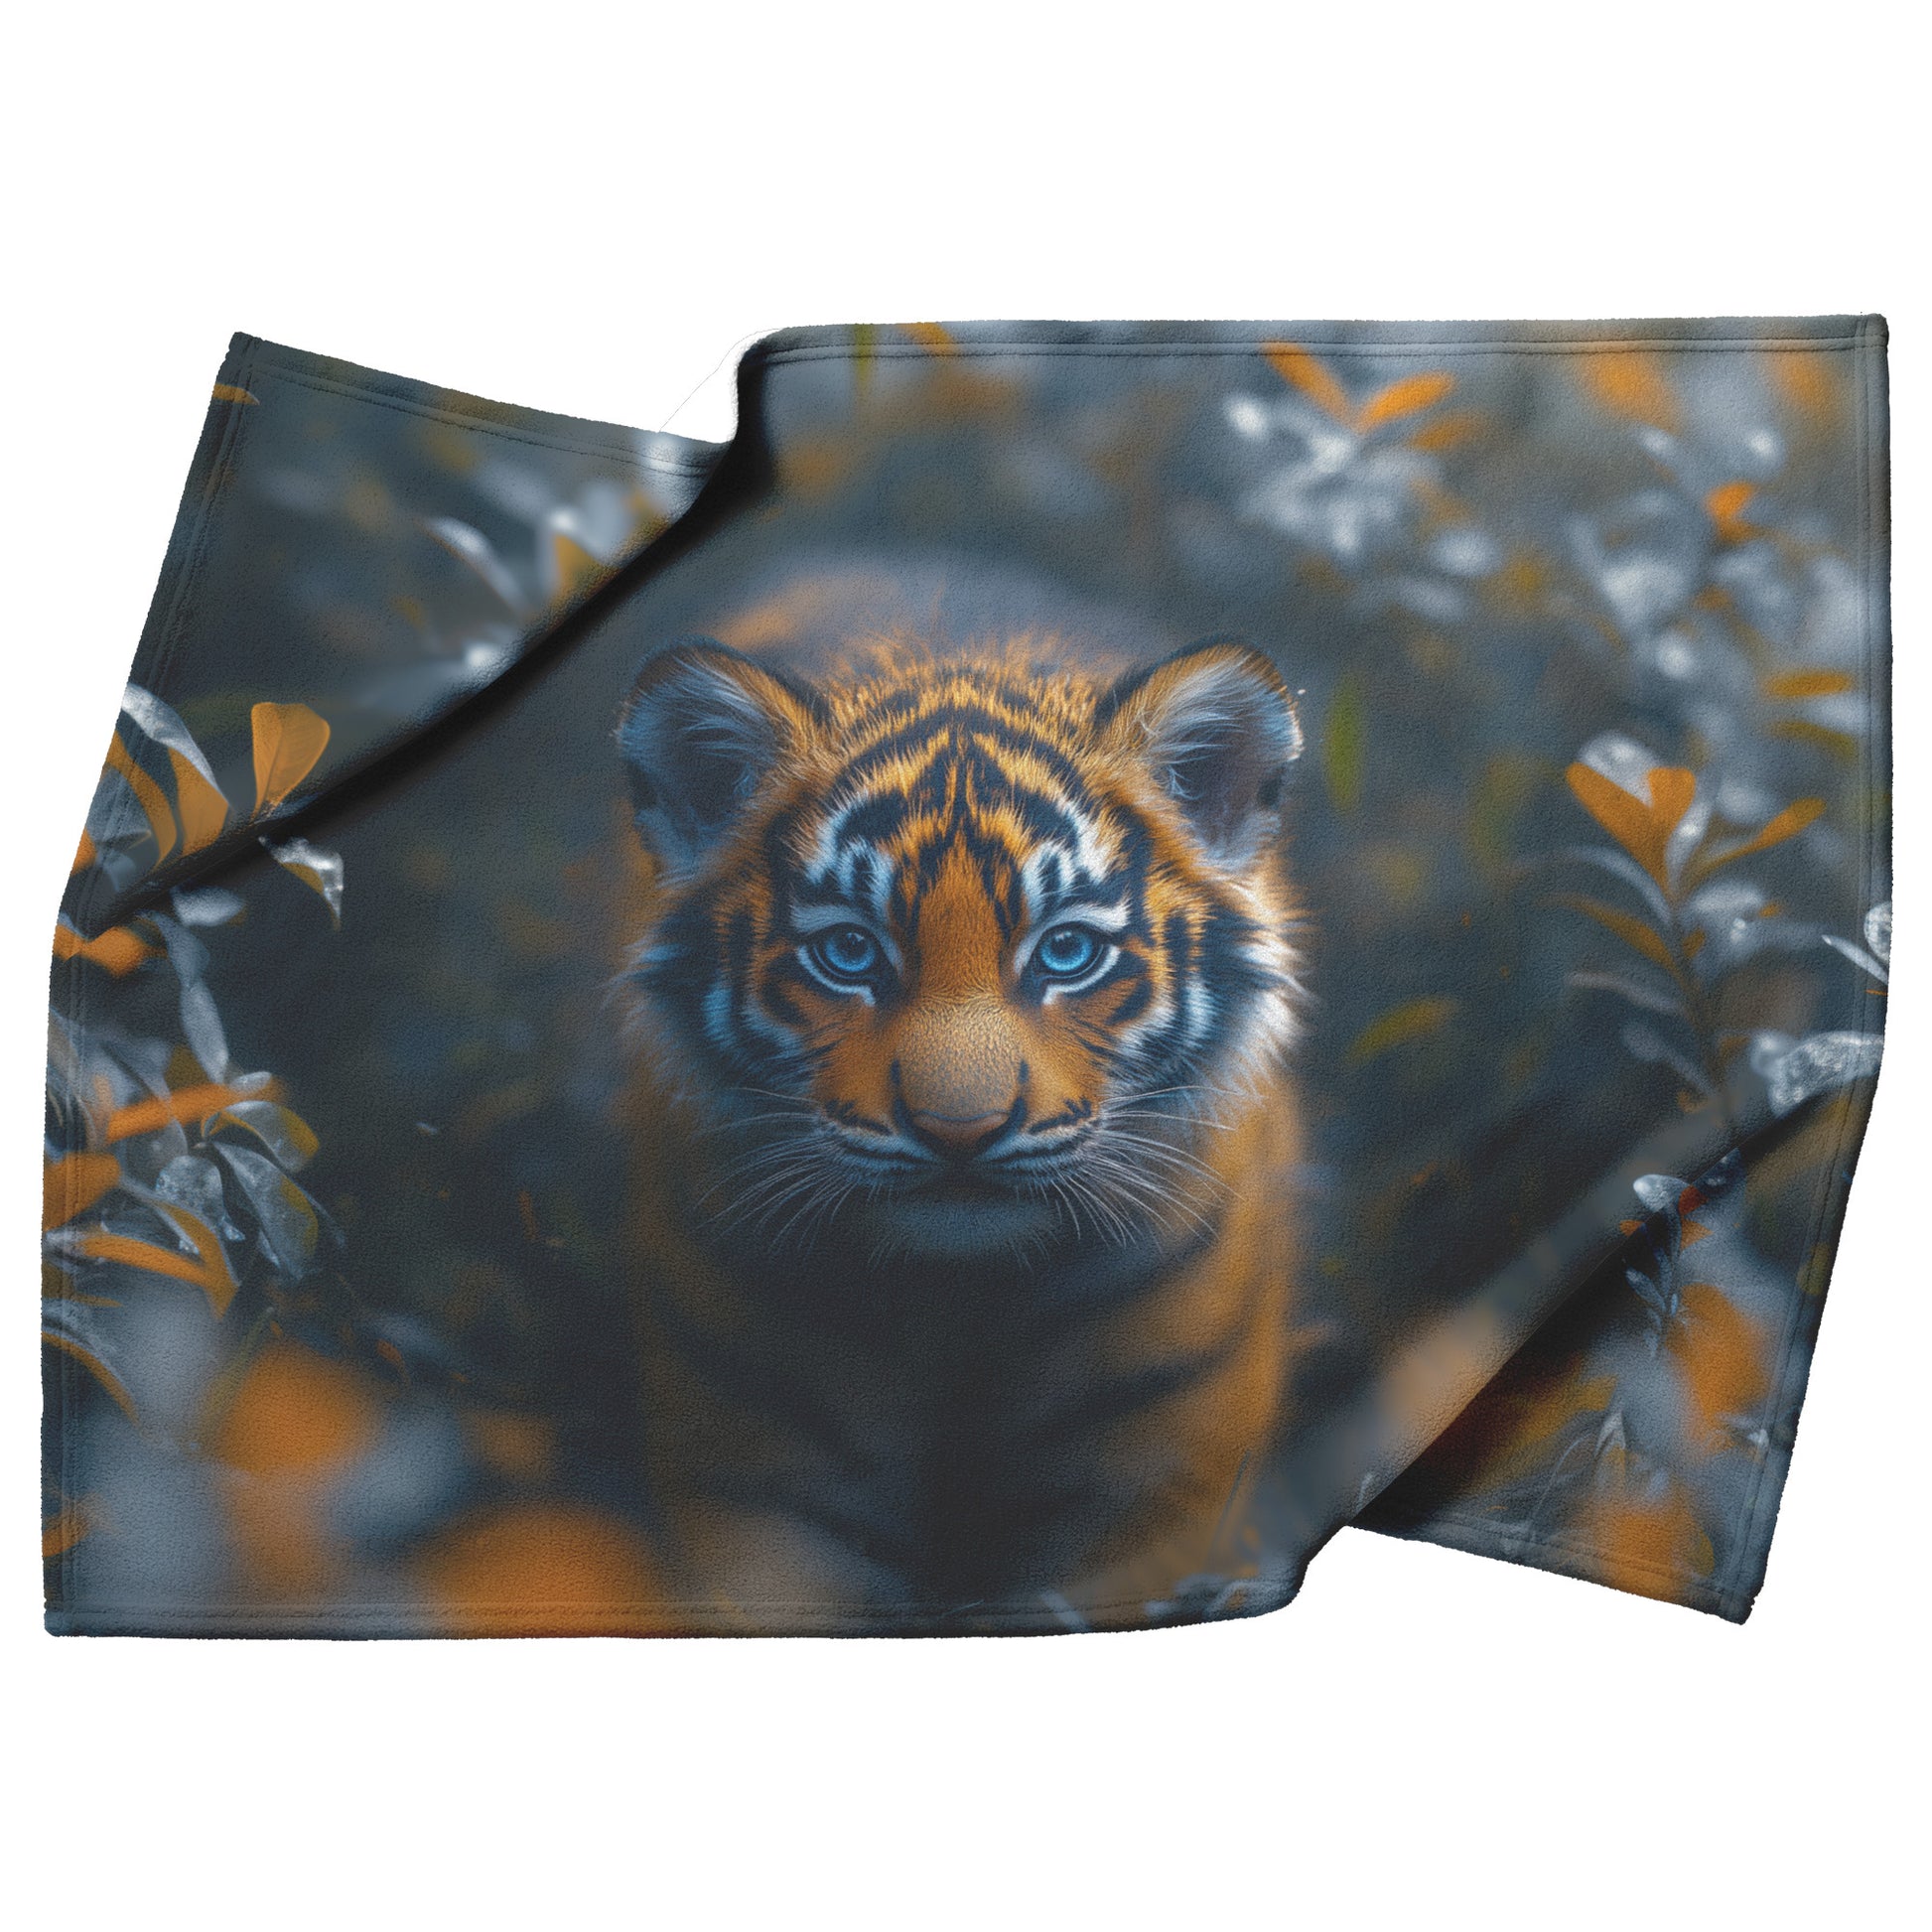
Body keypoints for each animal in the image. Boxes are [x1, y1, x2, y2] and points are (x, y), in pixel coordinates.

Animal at [615, 608, 1308, 1630]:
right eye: (848, 953)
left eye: (1066, 952)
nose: (958, 1131)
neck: (957, 1306)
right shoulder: (759, 1486)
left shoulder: (1149, 1482)